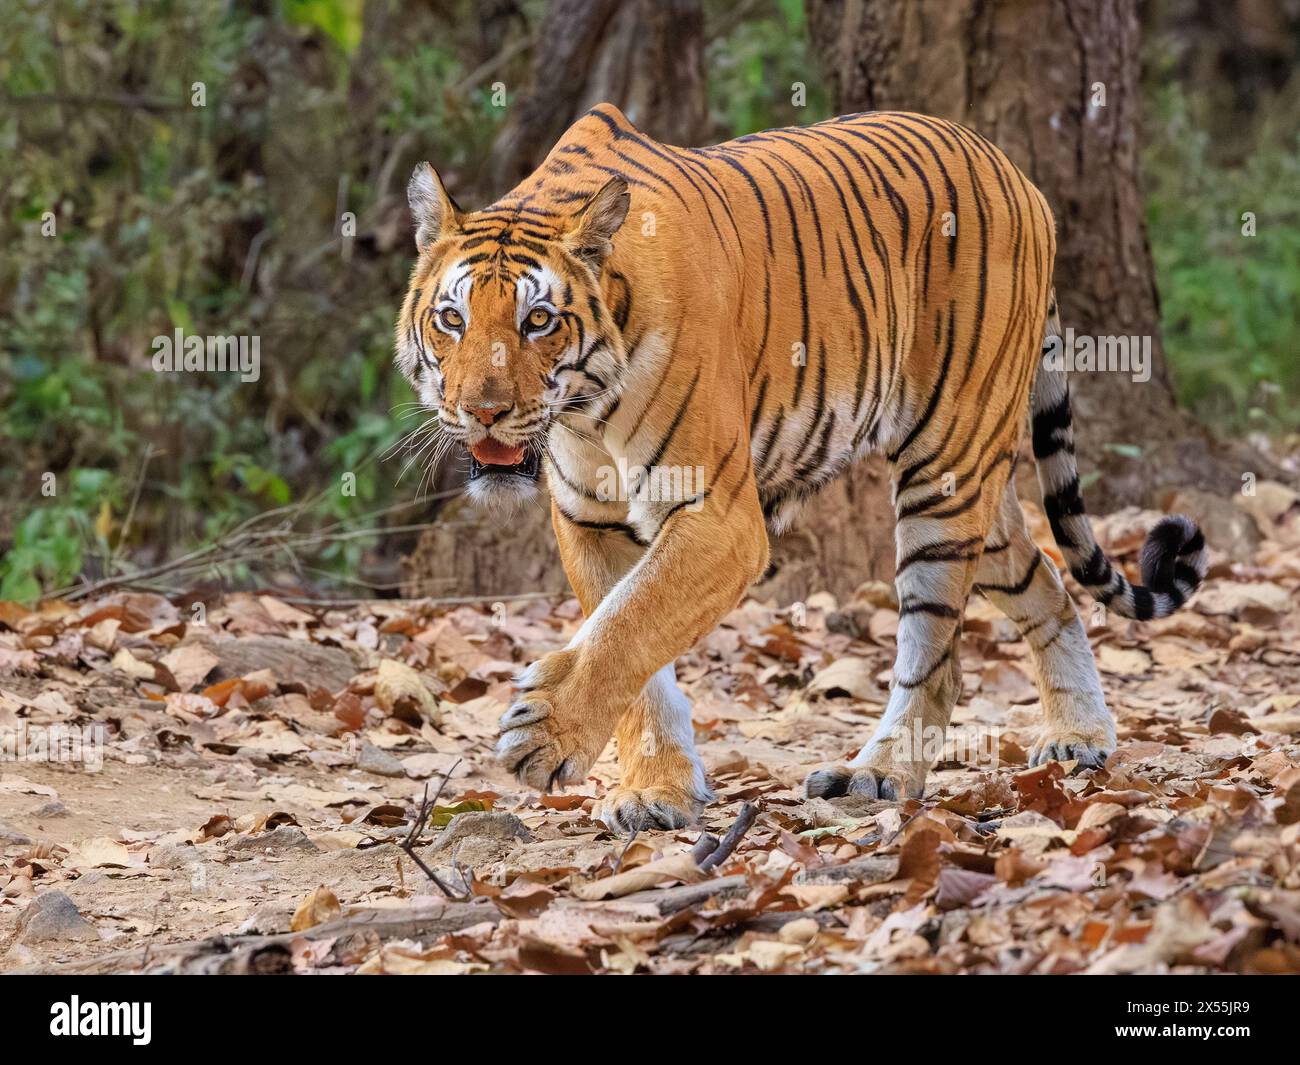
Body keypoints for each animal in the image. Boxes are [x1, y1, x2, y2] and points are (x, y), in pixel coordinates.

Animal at [394, 103, 1207, 832]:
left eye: (538, 320)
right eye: (452, 319)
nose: (483, 411)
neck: (587, 408)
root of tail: (1019, 176)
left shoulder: (718, 518)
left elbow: (629, 627)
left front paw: (543, 736)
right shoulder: (590, 519)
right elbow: (633, 647)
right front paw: (656, 790)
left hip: (943, 474)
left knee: (937, 654)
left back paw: (878, 774)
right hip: (980, 491)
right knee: (1050, 588)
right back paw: (1081, 736)